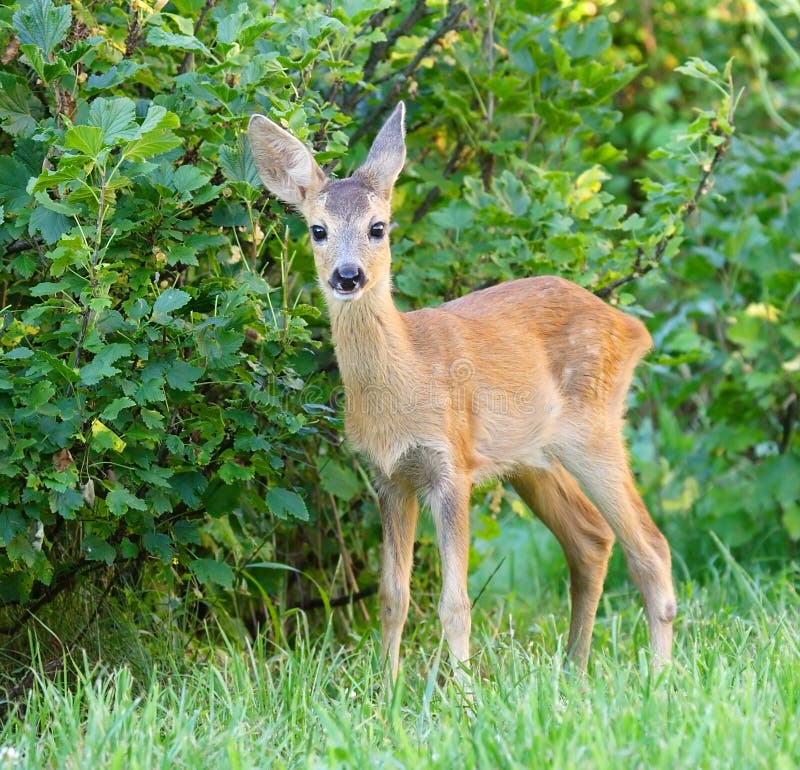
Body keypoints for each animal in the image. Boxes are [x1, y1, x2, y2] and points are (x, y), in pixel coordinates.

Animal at [247, 102, 677, 681]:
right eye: (318, 229)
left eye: (377, 227)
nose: (347, 275)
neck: (407, 375)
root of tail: (633, 329)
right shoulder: (389, 478)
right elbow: (392, 597)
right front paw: (386, 689)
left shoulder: (451, 467)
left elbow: (456, 603)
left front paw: (465, 692)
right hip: (530, 458)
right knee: (590, 539)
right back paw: (574, 670)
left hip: (595, 431)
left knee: (651, 547)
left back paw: (659, 676)